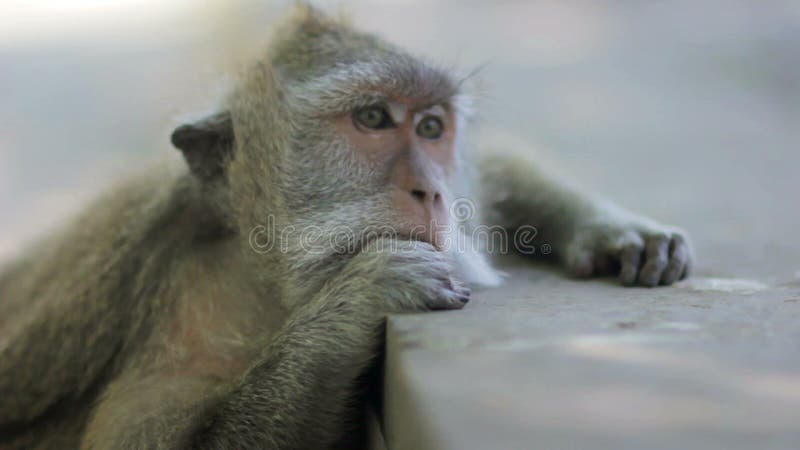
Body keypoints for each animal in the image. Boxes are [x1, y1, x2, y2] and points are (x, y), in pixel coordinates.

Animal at [0, 6, 692, 450]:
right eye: (374, 117)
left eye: (432, 128)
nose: (431, 190)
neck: (259, 277)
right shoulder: (183, 317)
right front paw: (356, 300)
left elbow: (491, 169)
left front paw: (610, 228)